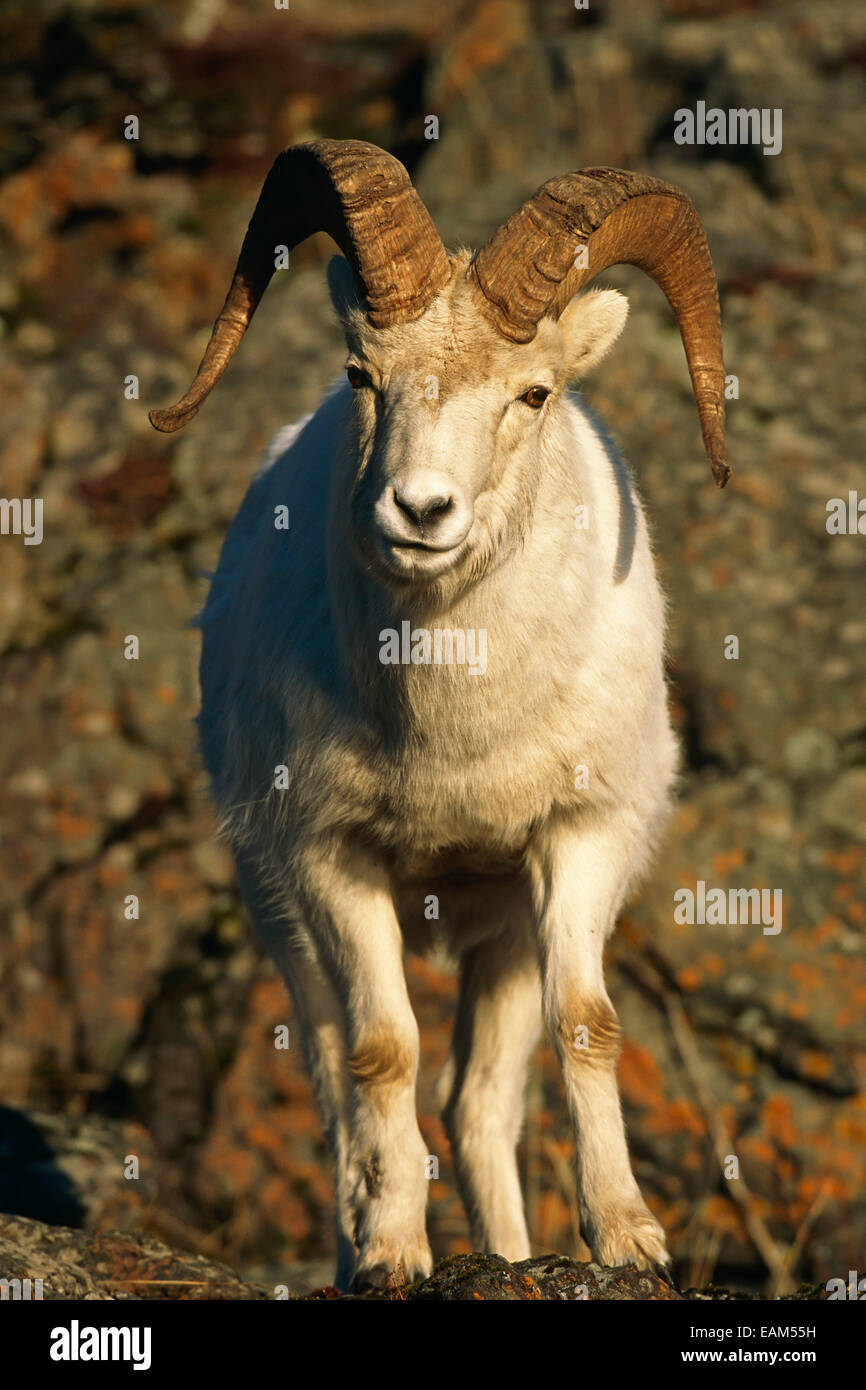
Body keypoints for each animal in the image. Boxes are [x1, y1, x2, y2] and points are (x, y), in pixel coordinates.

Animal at [150, 140, 729, 1292]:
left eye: (534, 392)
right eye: (361, 376)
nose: (419, 513)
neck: (450, 736)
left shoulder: (578, 841)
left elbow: (588, 1027)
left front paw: (629, 1238)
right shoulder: (331, 860)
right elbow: (383, 1055)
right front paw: (393, 1254)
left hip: (502, 932)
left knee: (479, 1106)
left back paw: (507, 1251)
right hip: (281, 914)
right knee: (338, 1080)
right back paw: (361, 1250)